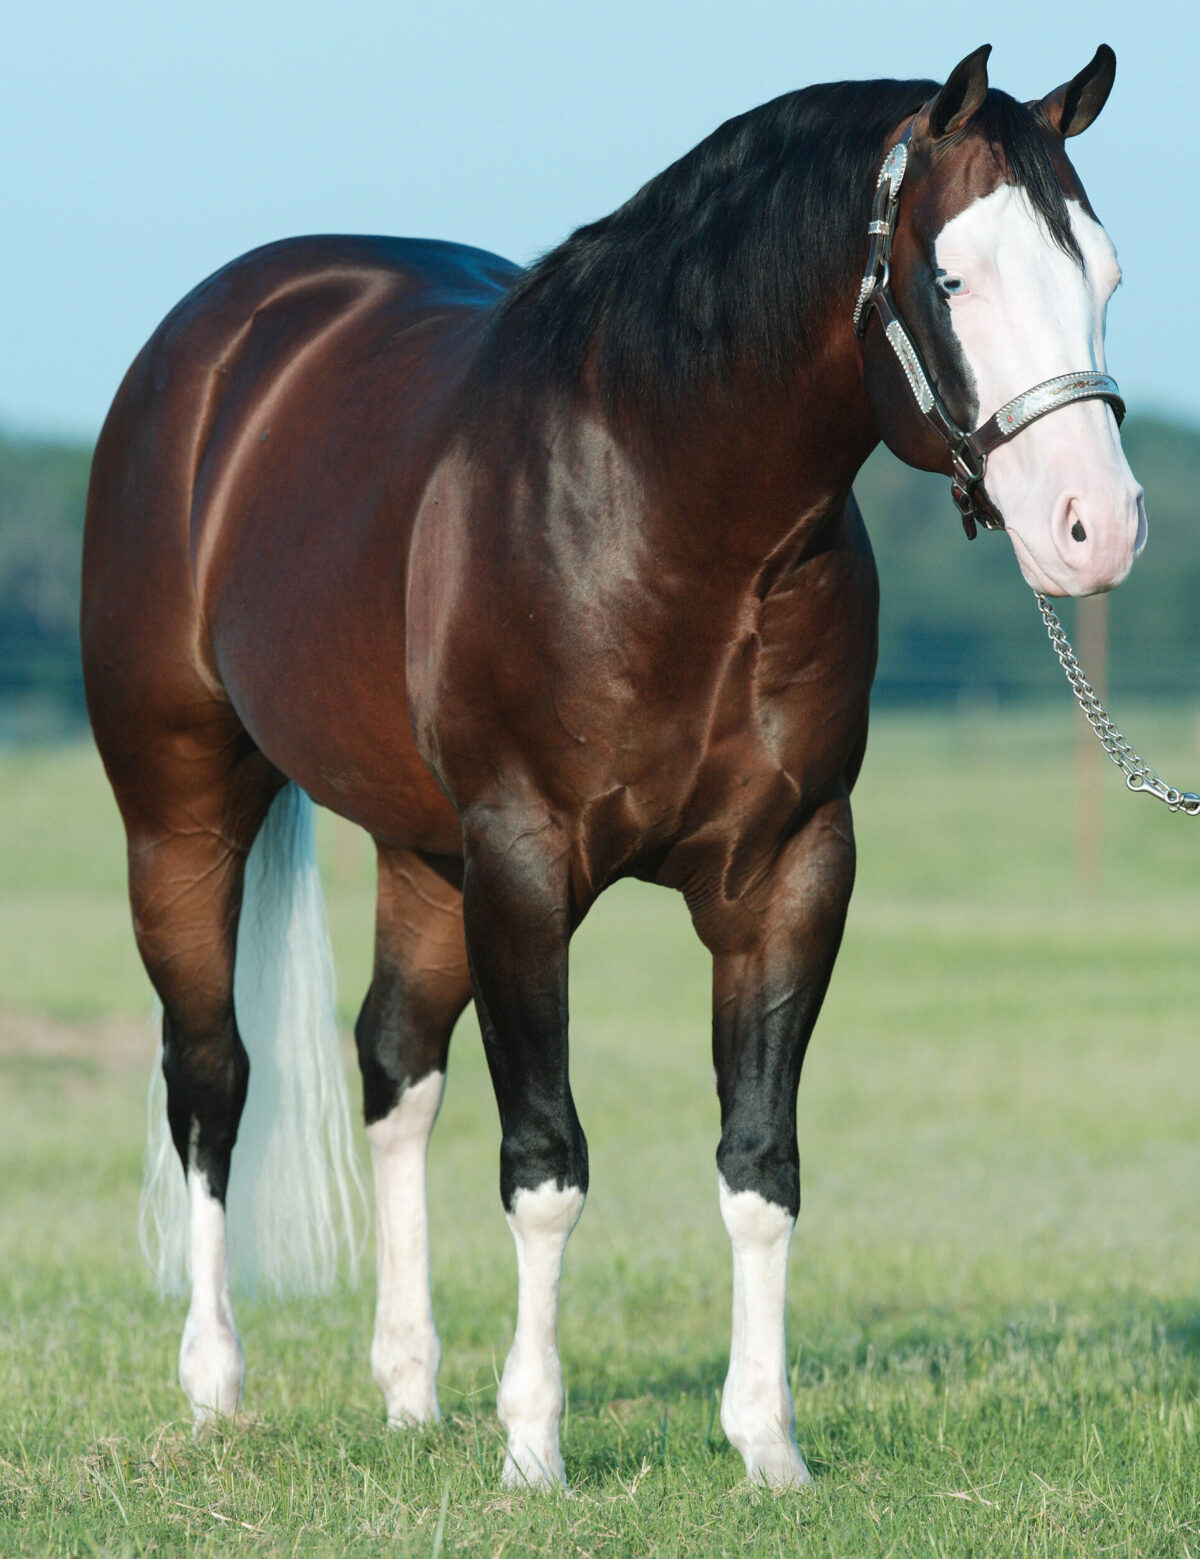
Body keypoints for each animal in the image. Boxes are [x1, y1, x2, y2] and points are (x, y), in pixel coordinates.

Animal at [81, 42, 1145, 1488]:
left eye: (1104, 275)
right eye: (952, 279)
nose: (1100, 528)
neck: (665, 506)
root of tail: (214, 346)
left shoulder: (790, 870)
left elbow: (760, 1162)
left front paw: (767, 1444)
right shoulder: (527, 864)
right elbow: (547, 1163)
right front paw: (535, 1446)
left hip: (426, 851)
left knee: (393, 1068)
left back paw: (409, 1389)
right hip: (184, 810)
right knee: (209, 1078)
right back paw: (214, 1384)